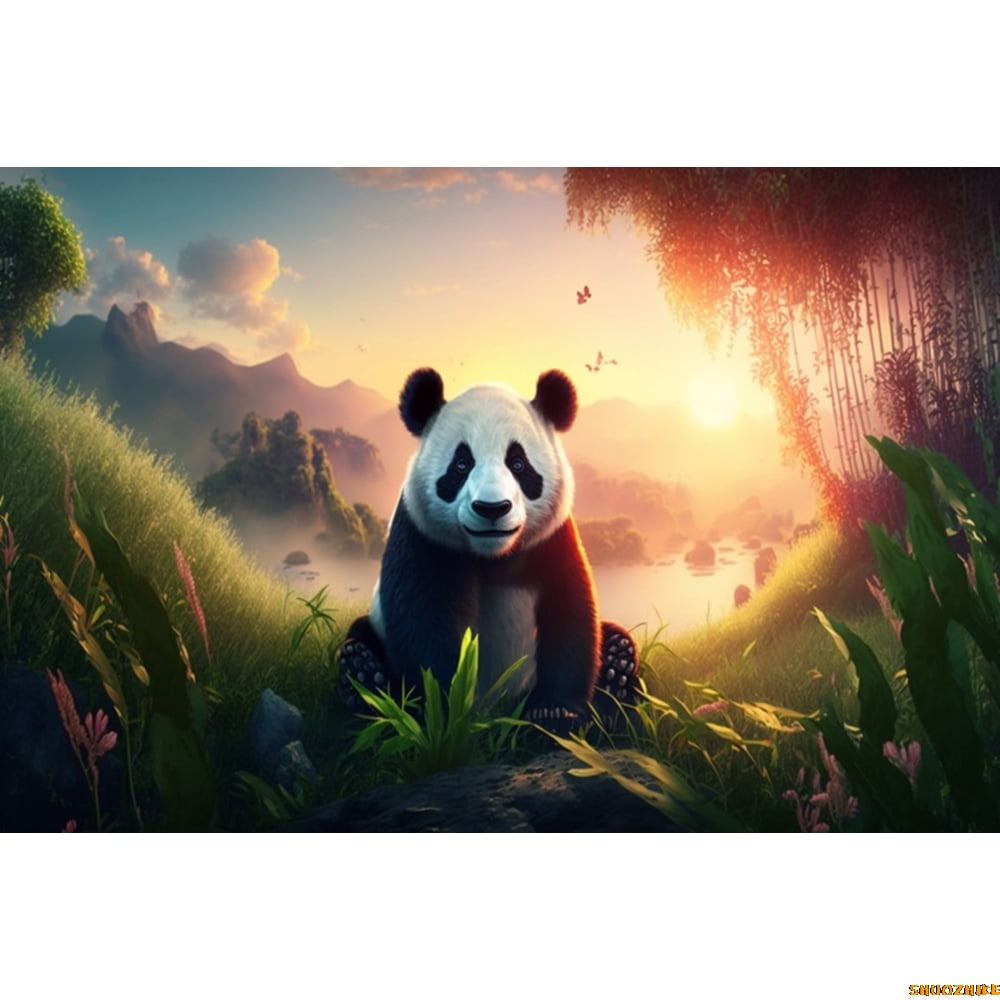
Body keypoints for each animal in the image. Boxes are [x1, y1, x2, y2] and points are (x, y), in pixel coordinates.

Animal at [337, 367, 639, 729]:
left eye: (518, 464)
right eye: (461, 464)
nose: (492, 508)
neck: (493, 555)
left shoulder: (553, 539)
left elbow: (569, 612)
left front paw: (555, 712)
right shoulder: (421, 536)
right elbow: (422, 620)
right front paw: (444, 712)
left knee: (613, 637)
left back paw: (615, 676)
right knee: (359, 639)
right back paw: (365, 680)